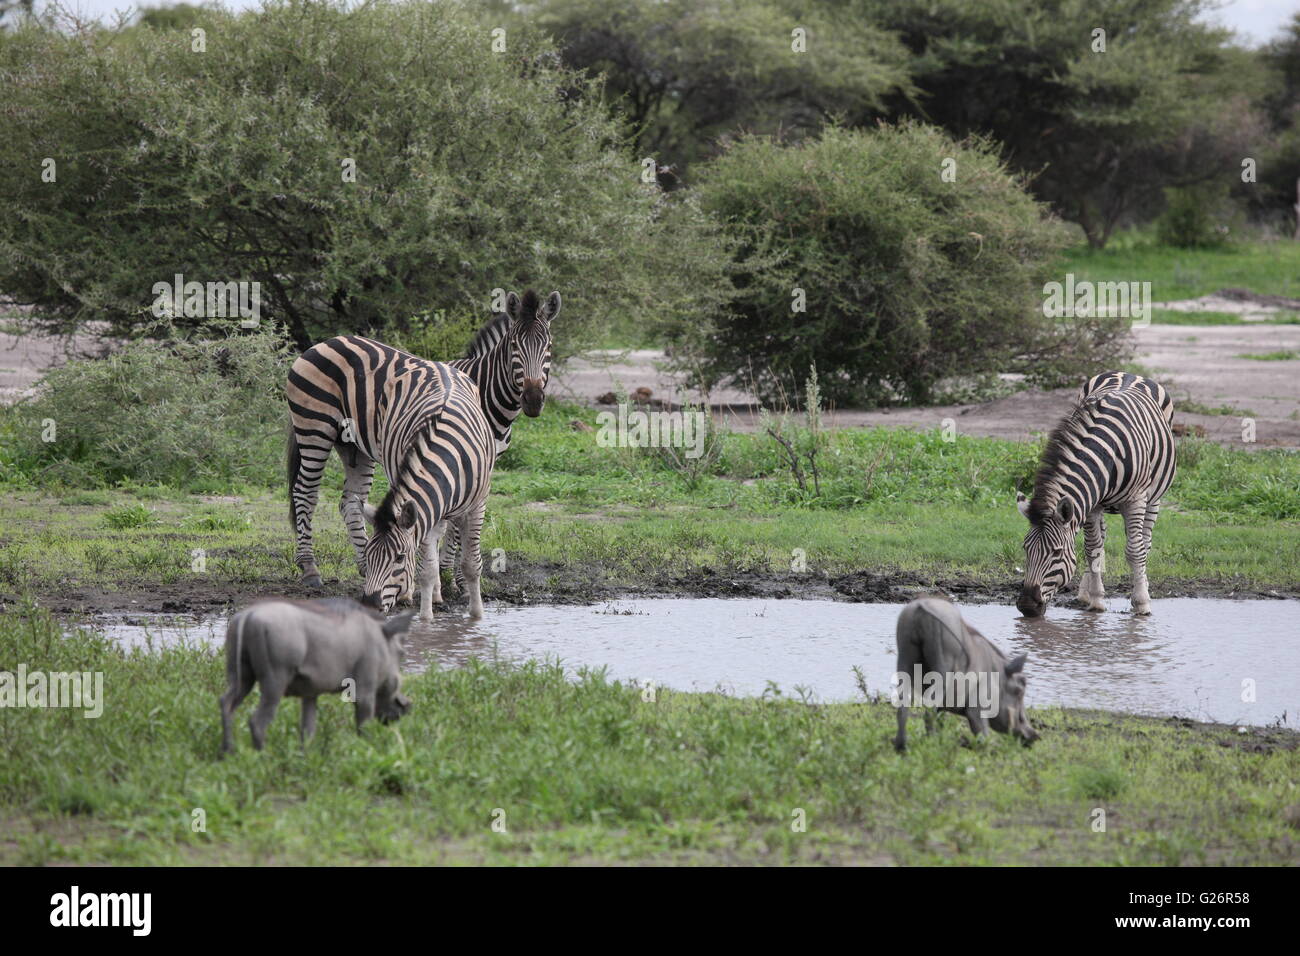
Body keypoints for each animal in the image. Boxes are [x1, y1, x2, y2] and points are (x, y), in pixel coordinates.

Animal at [286, 337, 496, 618]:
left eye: (398, 558)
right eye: (376, 554)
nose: (369, 605)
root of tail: (331, 340)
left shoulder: (476, 505)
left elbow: (471, 563)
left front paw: (474, 615)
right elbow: (426, 564)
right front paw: (425, 613)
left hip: (354, 446)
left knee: (350, 502)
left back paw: (360, 568)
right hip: (314, 426)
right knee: (305, 493)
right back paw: (310, 567)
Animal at [1015, 371, 1176, 618]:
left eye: (1056, 553)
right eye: (1026, 549)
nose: (1027, 606)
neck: (1106, 451)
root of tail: (1128, 373)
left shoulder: (1136, 500)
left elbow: (1134, 550)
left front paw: (1141, 603)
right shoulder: (1091, 502)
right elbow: (1092, 548)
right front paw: (1097, 599)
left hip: (1154, 499)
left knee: (1144, 541)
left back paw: (1143, 585)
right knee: (1099, 539)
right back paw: (1085, 591)